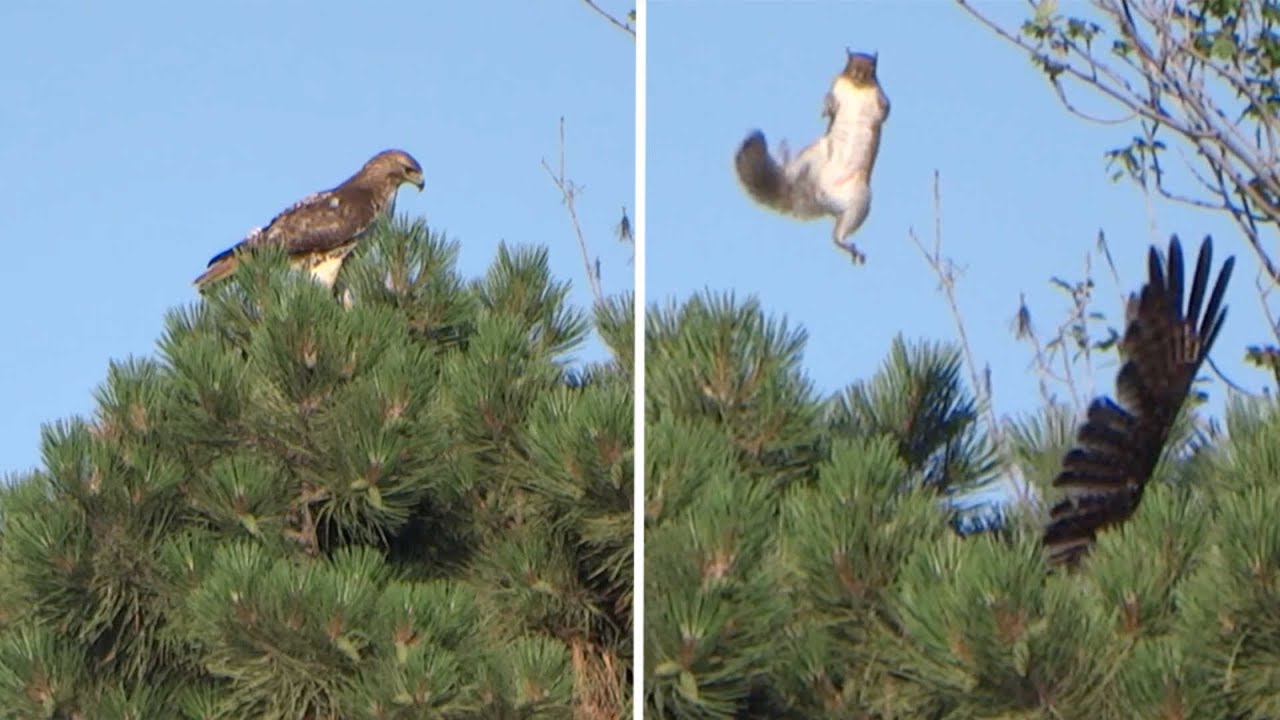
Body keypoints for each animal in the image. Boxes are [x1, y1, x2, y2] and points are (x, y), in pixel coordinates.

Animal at [734, 51, 890, 264]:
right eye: (849, 62)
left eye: (873, 67)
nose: (859, 74)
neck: (857, 87)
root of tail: (820, 197)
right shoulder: (835, 84)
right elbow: (830, 102)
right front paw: (828, 105)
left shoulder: (879, 95)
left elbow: (885, 110)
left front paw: (884, 107)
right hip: (814, 154)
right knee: (791, 174)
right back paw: (785, 163)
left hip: (860, 202)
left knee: (839, 232)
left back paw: (847, 245)